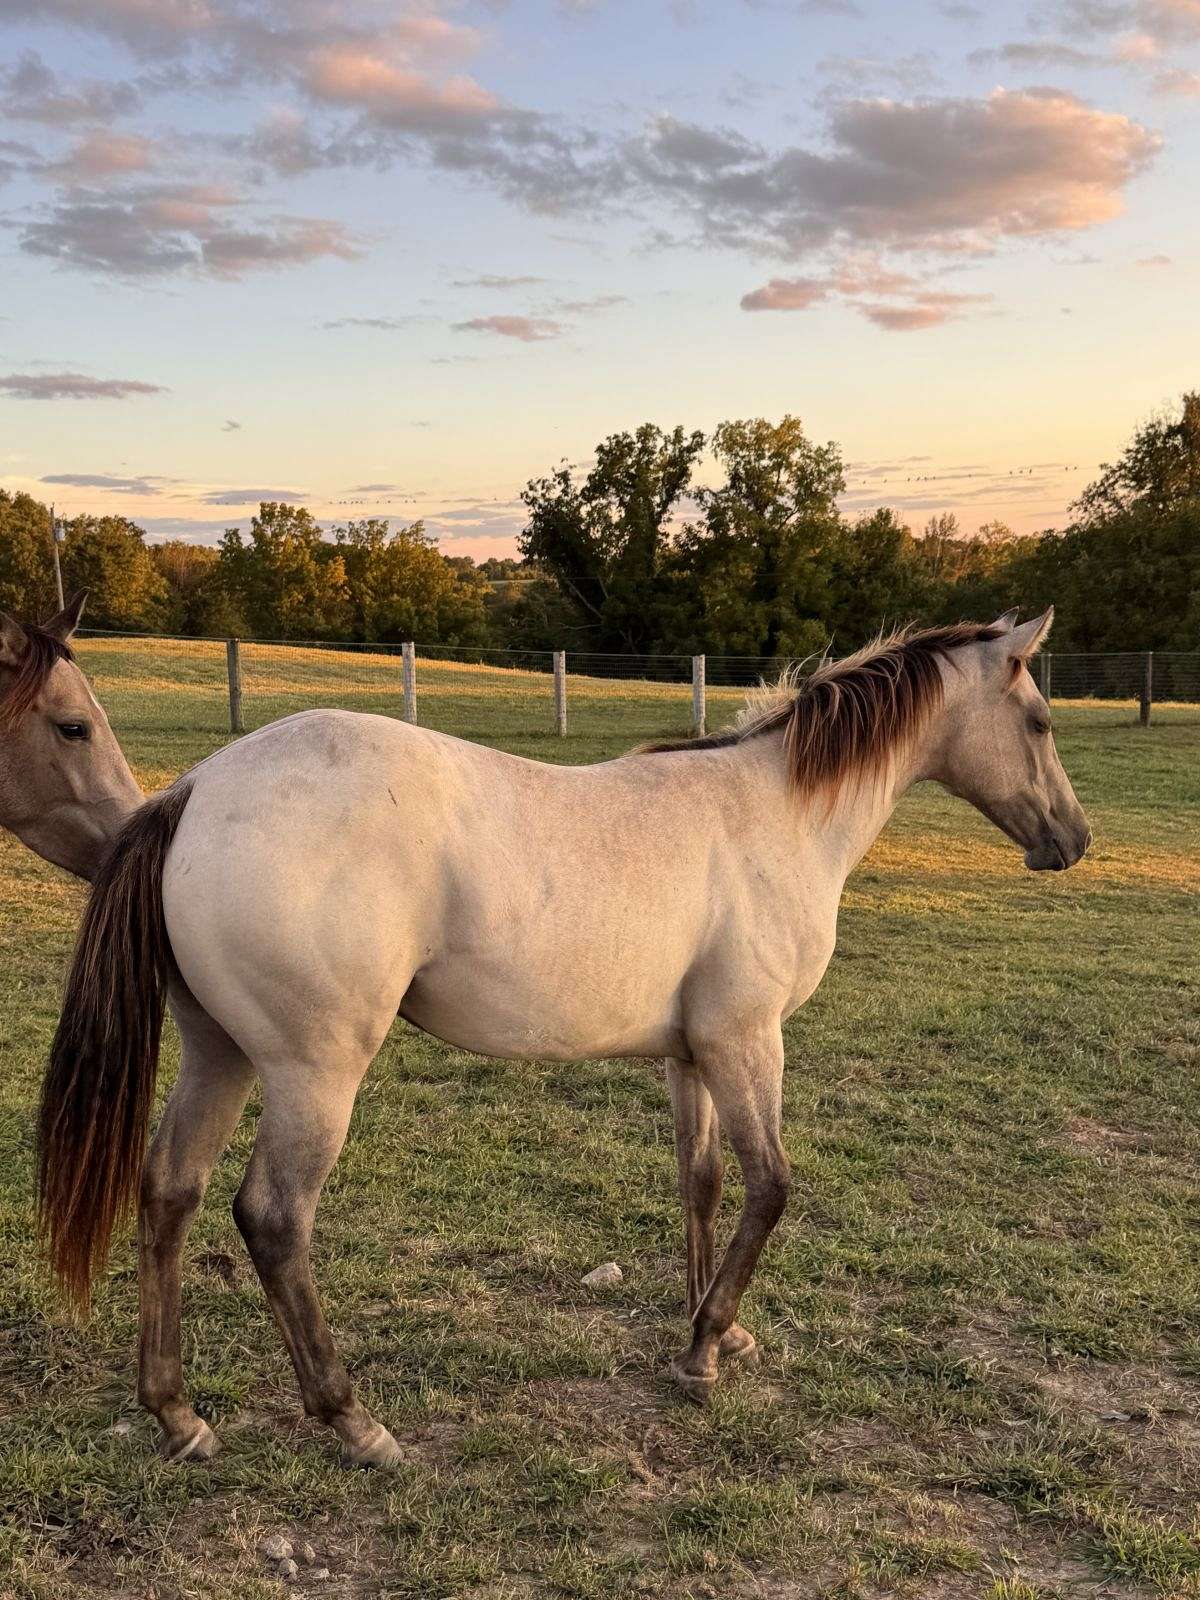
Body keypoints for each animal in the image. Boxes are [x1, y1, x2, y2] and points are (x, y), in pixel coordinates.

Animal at [34, 609, 1090, 1468]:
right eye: (1041, 722)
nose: (1072, 841)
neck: (775, 815)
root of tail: (196, 790)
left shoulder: (692, 1057)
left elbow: (702, 1182)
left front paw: (712, 1330)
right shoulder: (748, 1043)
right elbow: (771, 1186)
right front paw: (705, 1353)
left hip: (219, 1055)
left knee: (168, 1191)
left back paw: (177, 1415)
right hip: (312, 1073)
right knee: (273, 1219)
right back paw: (353, 1421)